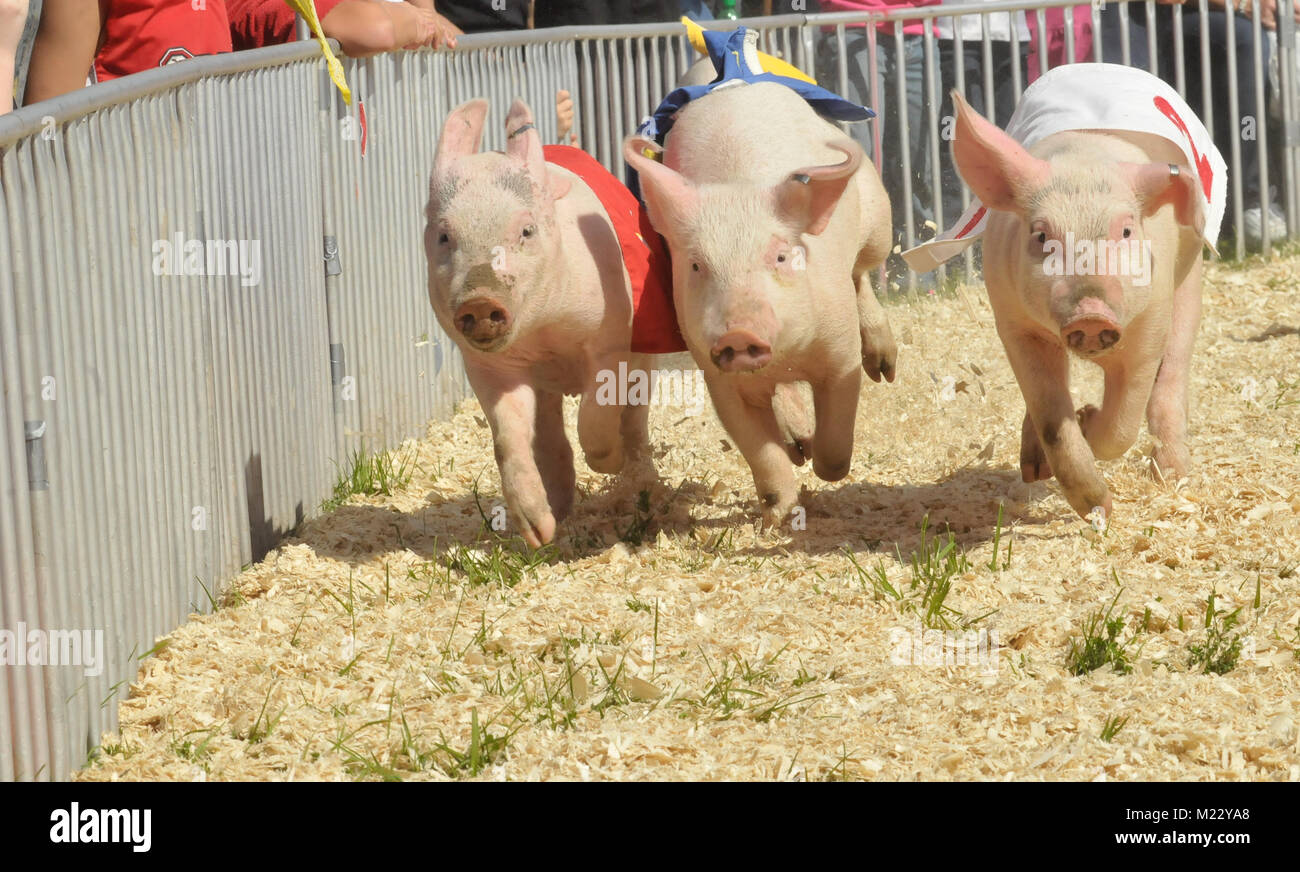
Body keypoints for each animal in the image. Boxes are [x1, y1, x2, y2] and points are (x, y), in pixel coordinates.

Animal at [425, 98, 649, 547]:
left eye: (526, 231)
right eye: (444, 236)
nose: (480, 300)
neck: (544, 332)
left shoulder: (610, 338)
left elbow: (595, 415)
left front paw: (609, 463)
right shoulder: (489, 368)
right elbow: (507, 438)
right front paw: (536, 535)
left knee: (636, 416)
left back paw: (636, 478)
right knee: (548, 436)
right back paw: (558, 514)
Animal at [624, 81, 896, 528]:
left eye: (781, 257)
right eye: (696, 265)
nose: (738, 332)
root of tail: (735, 82)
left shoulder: (839, 352)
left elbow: (837, 439)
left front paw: (824, 469)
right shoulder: (719, 378)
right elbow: (759, 450)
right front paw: (779, 515)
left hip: (878, 221)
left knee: (862, 272)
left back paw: (884, 370)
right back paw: (798, 446)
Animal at [949, 90, 1208, 520]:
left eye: (1126, 231)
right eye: (1041, 236)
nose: (1090, 313)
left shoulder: (1150, 324)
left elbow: (1123, 423)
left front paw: (1088, 420)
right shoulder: (1014, 324)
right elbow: (1052, 418)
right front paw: (1096, 505)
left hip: (1187, 284)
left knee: (1171, 377)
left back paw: (1172, 477)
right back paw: (1033, 469)